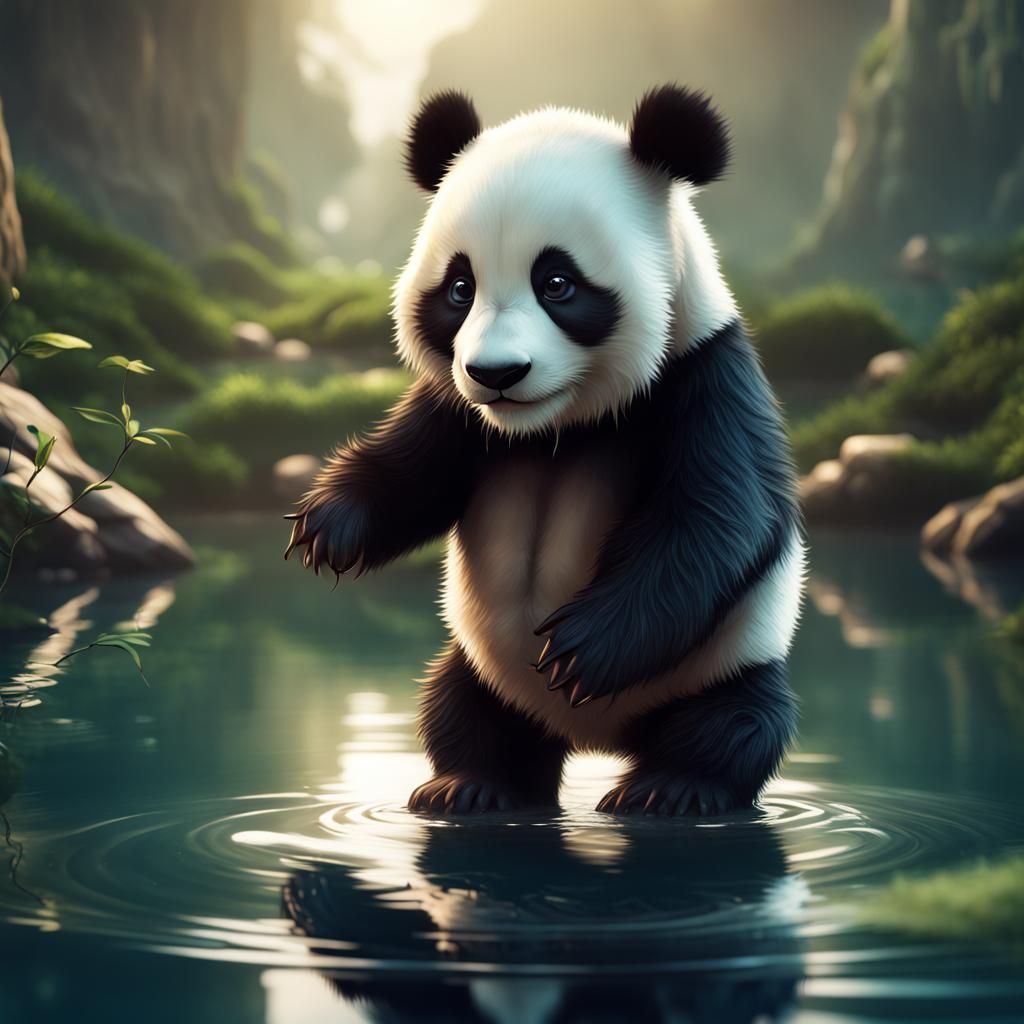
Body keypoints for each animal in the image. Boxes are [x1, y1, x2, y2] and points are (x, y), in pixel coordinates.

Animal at [285, 84, 805, 817]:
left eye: (557, 283)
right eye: (459, 288)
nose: (496, 373)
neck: (560, 424)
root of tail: (595, 739)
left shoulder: (702, 373)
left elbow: (717, 520)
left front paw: (583, 648)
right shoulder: (460, 411)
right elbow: (413, 473)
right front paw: (329, 527)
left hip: (725, 661)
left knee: (736, 722)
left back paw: (668, 787)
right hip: (481, 666)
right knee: (458, 707)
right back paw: (473, 784)